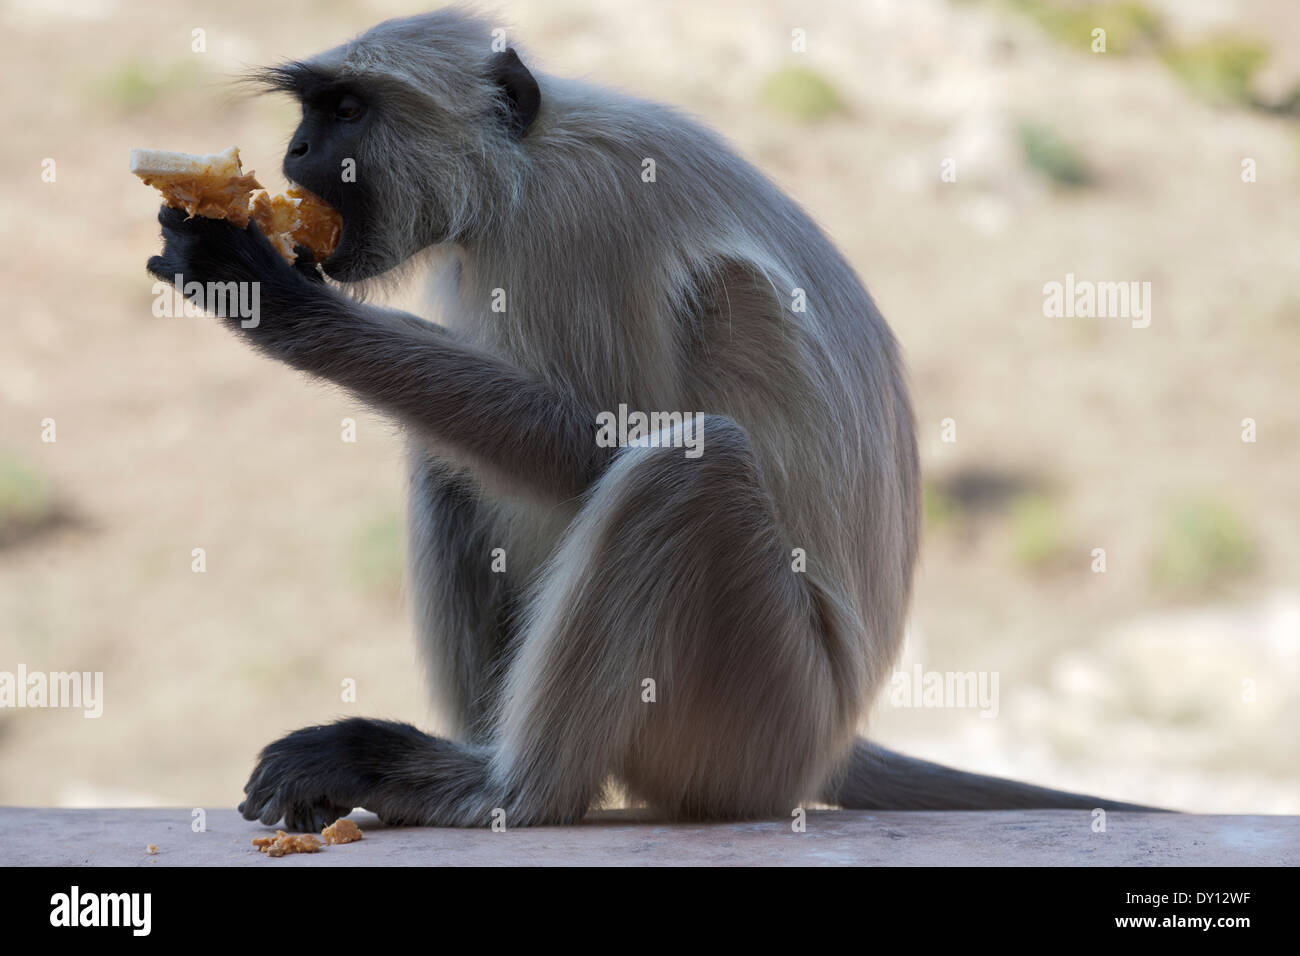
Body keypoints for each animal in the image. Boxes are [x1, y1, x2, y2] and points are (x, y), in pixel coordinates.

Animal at [145, 7, 1159, 829]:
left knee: (686, 465)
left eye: (348, 112)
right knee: (447, 459)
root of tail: (831, 741)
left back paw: (503, 789)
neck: (525, 159)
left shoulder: (574, 227)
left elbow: (601, 446)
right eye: (313, 112)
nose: (295, 154)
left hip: (761, 716)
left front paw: (275, 303)